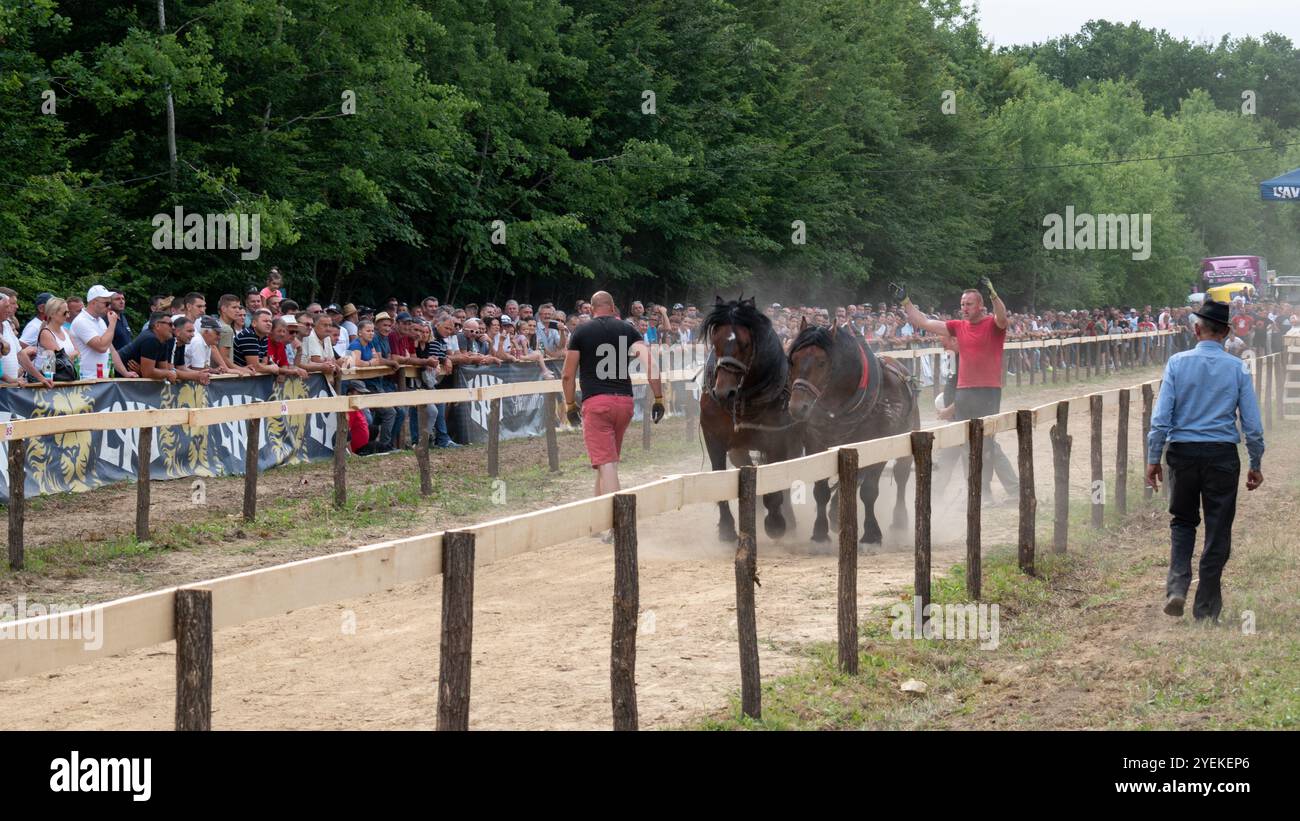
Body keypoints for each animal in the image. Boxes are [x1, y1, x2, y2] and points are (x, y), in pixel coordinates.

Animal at [699, 297, 803, 541]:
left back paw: (787, 518)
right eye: (715, 341)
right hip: (738, 449)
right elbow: (720, 476)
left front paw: (775, 522)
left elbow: (776, 479)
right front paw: (727, 528)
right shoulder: (714, 438)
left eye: (745, 344)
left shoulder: (776, 440)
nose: (723, 392)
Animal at [786, 319, 919, 546]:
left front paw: (871, 534)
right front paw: (820, 533)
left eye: (821, 362)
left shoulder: (878, 443)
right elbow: (821, 491)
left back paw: (900, 521)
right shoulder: (815, 443)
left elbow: (869, 490)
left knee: (901, 475)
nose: (797, 407)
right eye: (793, 359)